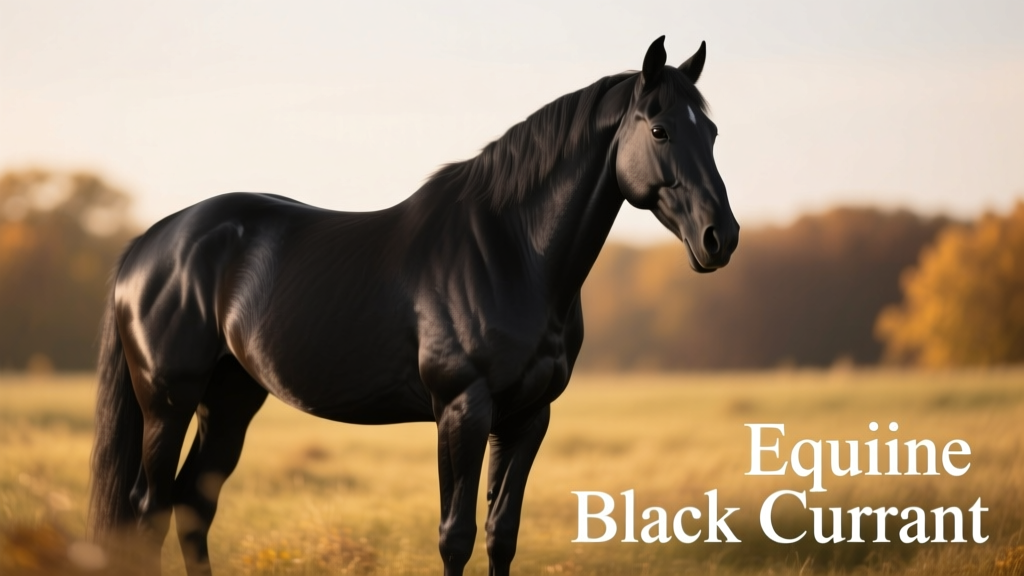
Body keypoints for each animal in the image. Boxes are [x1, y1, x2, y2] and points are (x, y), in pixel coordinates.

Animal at [89, 36, 739, 576]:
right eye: (660, 131)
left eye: (710, 133)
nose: (721, 237)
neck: (512, 253)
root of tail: (151, 242)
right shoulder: (462, 409)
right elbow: (455, 537)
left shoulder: (529, 416)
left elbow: (502, 534)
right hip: (168, 403)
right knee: (149, 510)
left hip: (229, 400)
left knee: (192, 505)